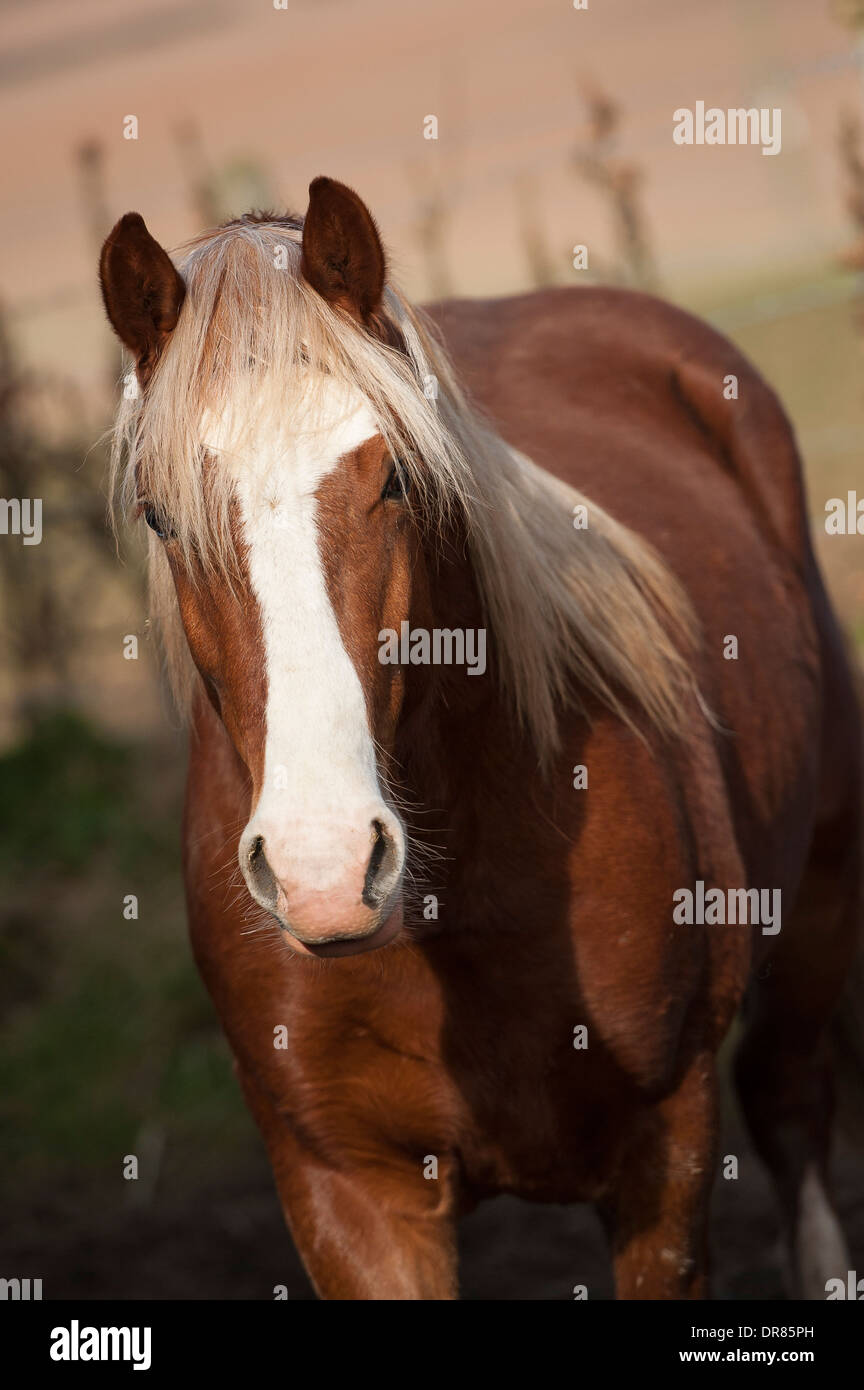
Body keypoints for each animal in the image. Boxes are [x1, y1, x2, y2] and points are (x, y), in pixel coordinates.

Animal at [99, 176, 863, 1300]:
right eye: (160, 516)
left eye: (395, 480)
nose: (325, 867)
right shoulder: (350, 1196)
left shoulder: (668, 1155)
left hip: (817, 901)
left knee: (790, 1105)